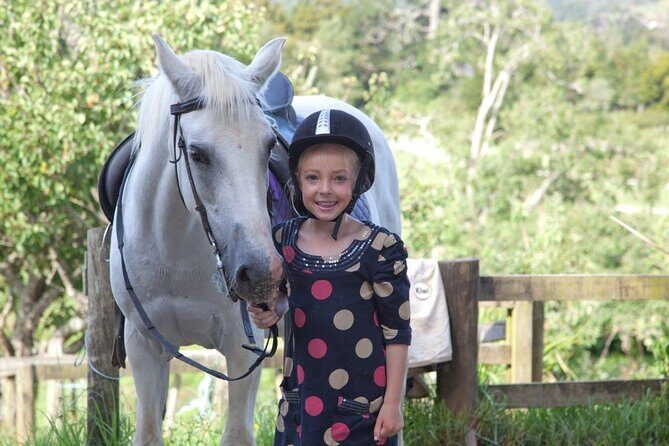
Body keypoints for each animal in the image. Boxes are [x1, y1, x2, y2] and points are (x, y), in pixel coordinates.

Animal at [108, 34, 401, 446]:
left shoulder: (242, 351)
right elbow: (149, 431)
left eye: (267, 146)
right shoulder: (144, 346)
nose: (262, 274)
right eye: (197, 153)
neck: (174, 254)